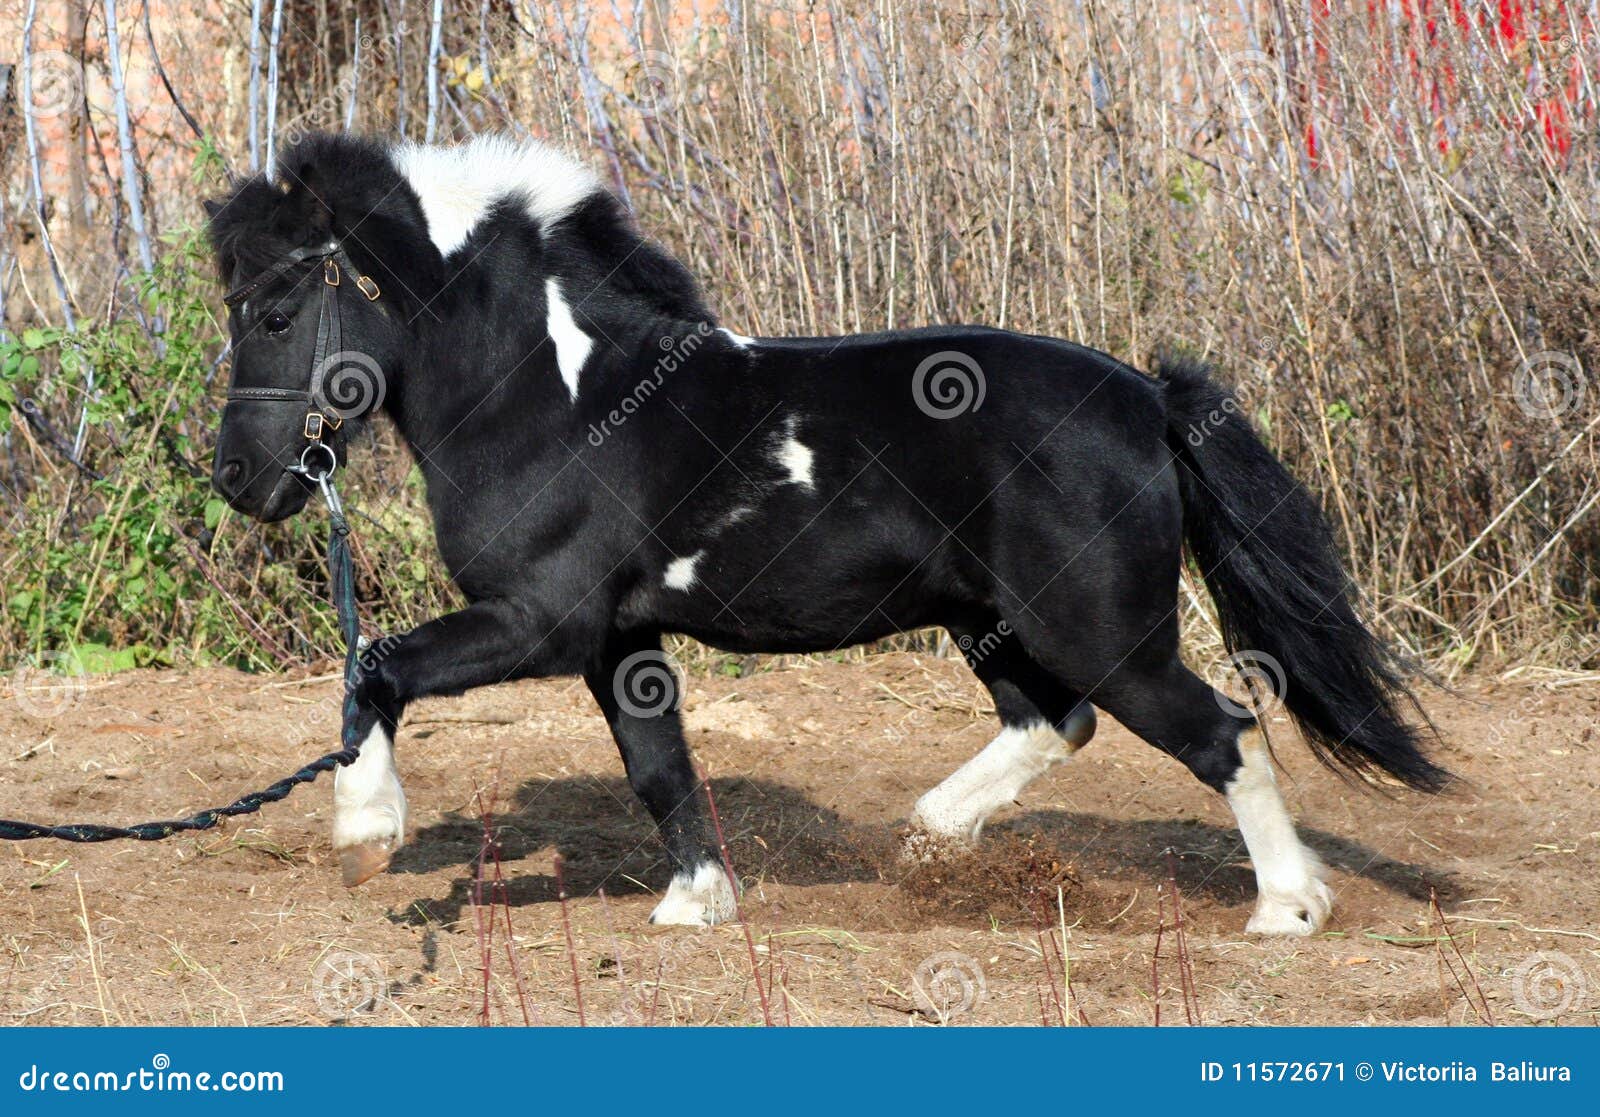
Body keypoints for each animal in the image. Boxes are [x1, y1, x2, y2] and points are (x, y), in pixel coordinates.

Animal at [205, 132, 1447, 934]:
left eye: (275, 310)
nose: (239, 480)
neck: (549, 396)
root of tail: (1143, 397)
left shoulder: (536, 621)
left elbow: (377, 666)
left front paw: (366, 835)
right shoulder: (616, 638)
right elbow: (658, 765)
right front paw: (696, 903)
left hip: (1101, 631)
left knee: (1222, 732)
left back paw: (1287, 907)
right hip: (993, 622)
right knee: (1054, 723)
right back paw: (930, 838)